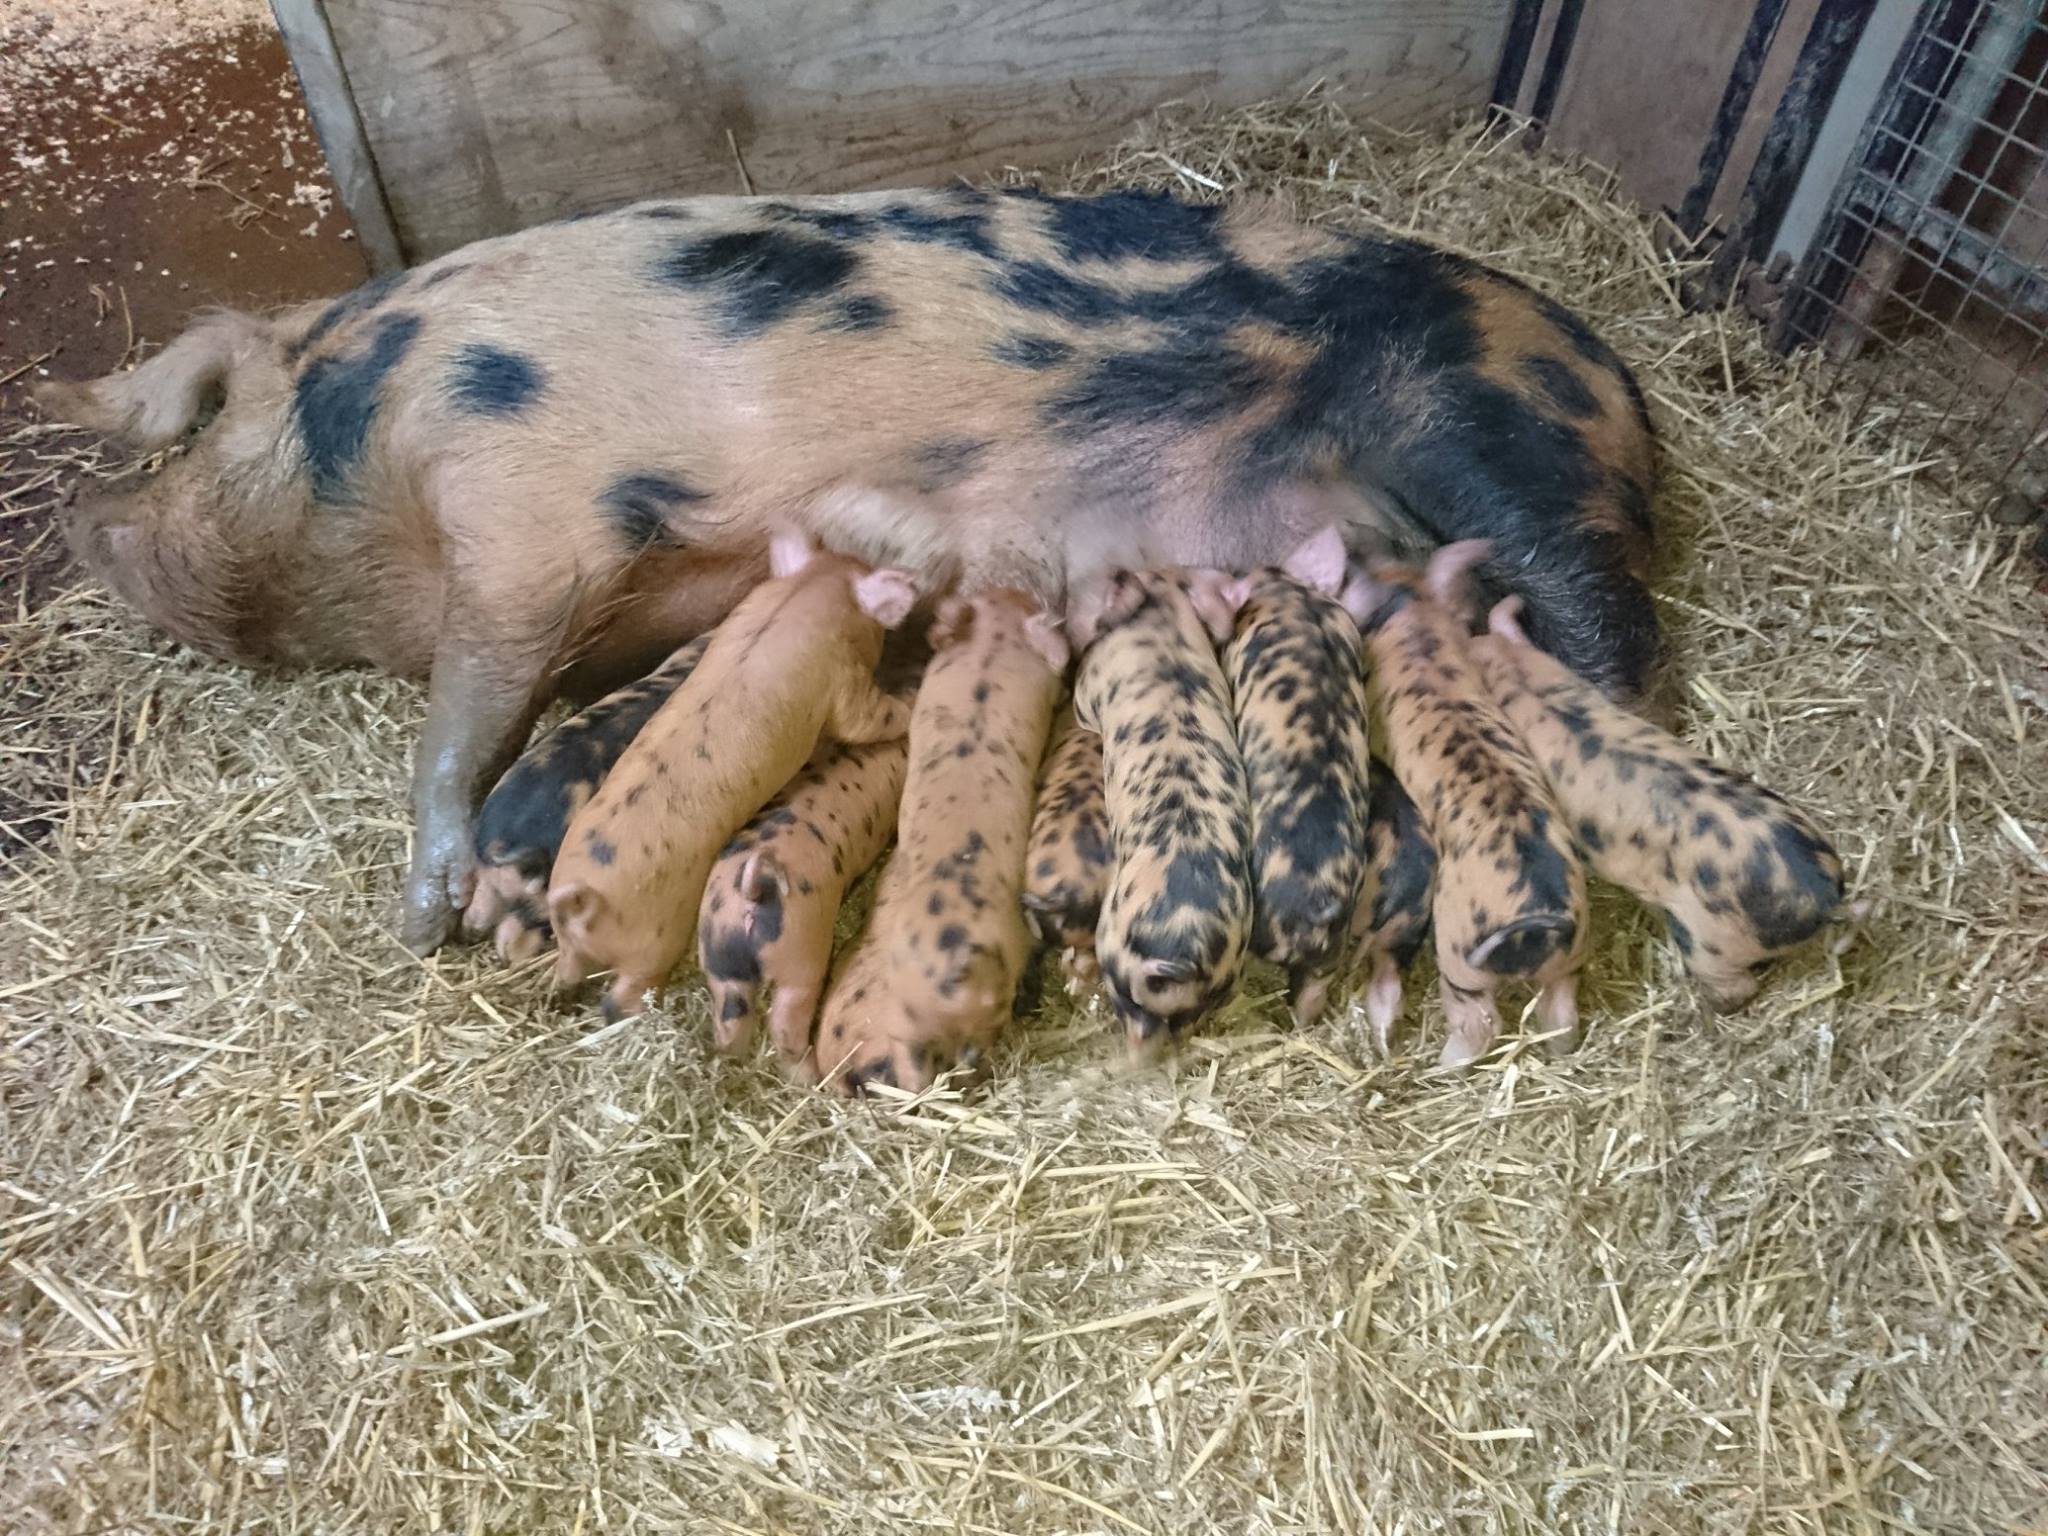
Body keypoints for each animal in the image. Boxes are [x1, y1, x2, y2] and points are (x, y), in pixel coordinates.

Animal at [463, 632, 714, 961]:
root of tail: (507, 846)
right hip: (541, 893)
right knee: (518, 932)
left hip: (489, 880)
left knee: (481, 914)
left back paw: (473, 929)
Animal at [548, 532, 916, 1018]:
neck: (804, 595)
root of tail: (582, 896)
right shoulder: (845, 684)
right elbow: (867, 719)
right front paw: (910, 705)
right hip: (655, 938)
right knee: (623, 992)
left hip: (571, 940)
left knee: (569, 966)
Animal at [694, 736, 907, 1066]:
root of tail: (755, 890)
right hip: (800, 956)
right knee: (785, 1027)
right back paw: (809, 1070)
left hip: (720, 958)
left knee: (731, 1020)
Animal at [1072, 567, 1254, 1058]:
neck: (1161, 625)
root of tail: (1178, 954)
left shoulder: (1086, 688)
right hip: (1223, 974)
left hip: (1113, 947)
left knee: (1138, 1027)